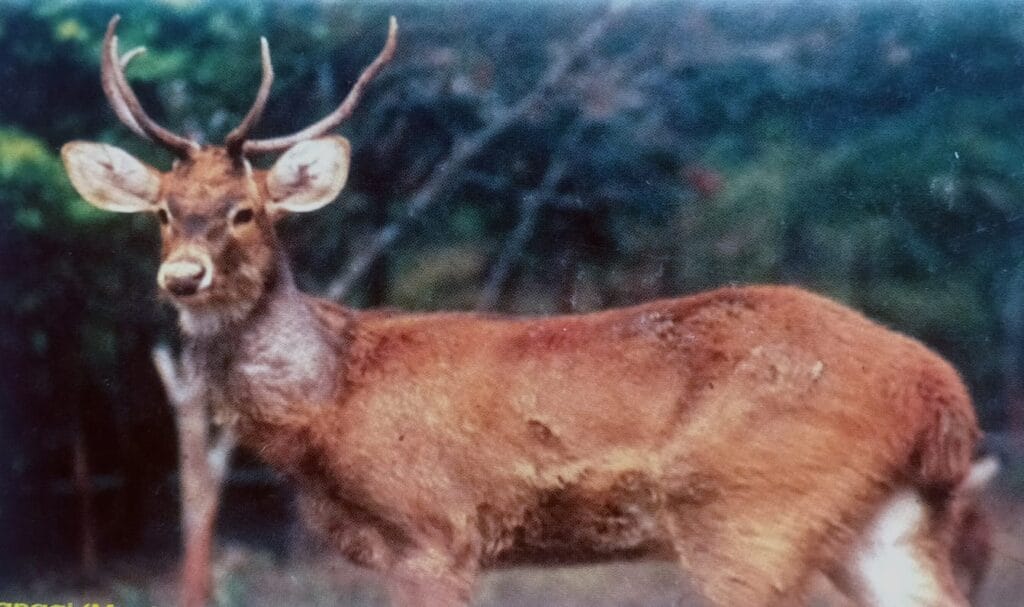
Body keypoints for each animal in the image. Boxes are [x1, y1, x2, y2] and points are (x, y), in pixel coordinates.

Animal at [62, 15, 983, 607]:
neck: (328, 404)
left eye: (246, 210)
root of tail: (941, 393)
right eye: (163, 210)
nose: (182, 275)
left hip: (752, 512)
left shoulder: (432, 527)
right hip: (883, 523)